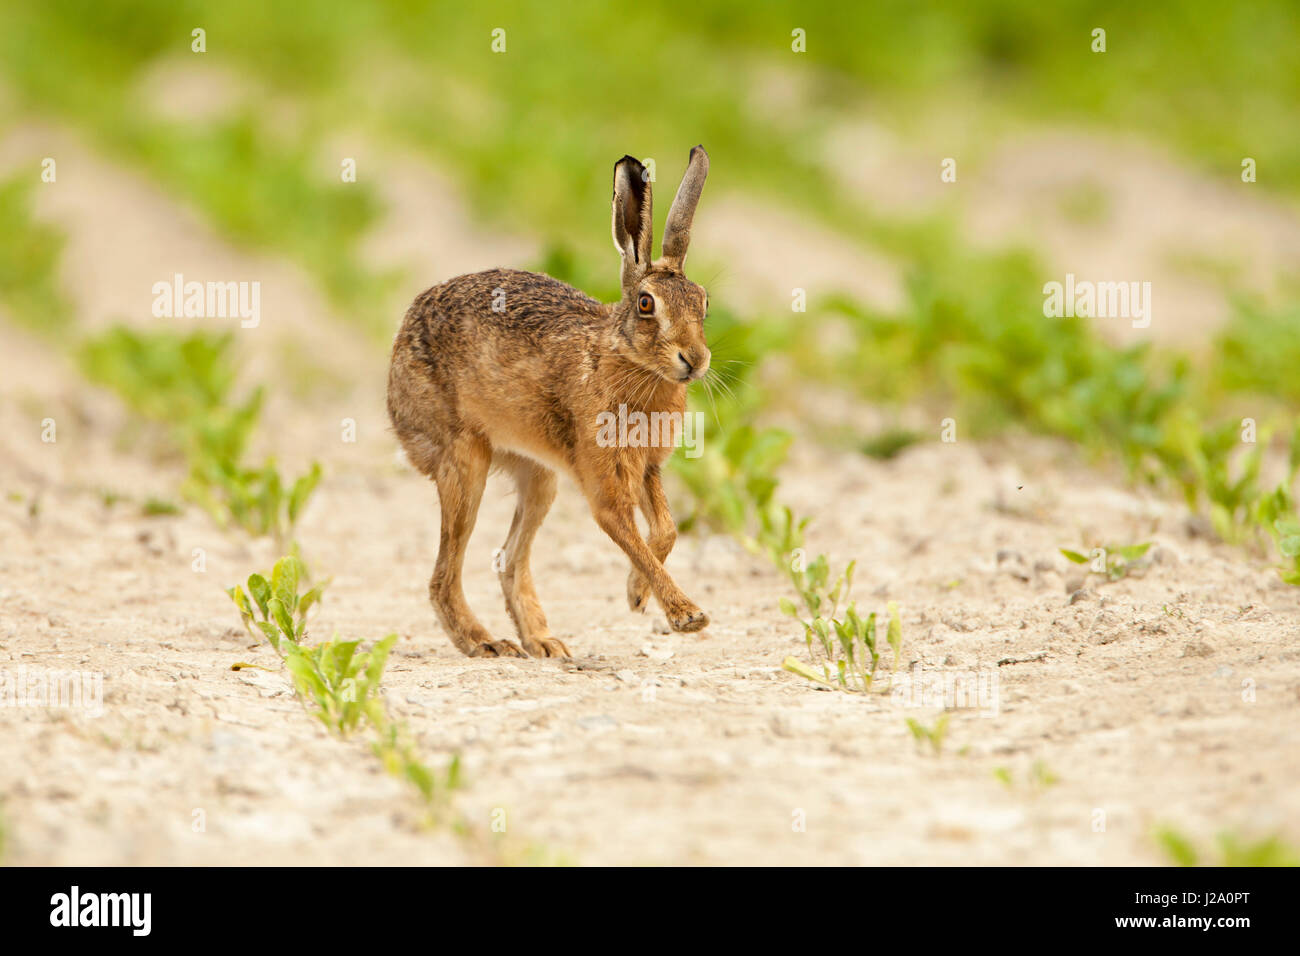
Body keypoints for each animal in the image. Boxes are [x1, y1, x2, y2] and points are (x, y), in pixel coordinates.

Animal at [387, 146, 713, 659]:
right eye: (646, 304)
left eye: (704, 303)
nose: (695, 360)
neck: (624, 358)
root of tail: (399, 343)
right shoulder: (606, 479)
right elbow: (627, 530)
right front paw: (687, 616)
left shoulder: (648, 467)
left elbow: (666, 530)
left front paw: (635, 595)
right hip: (464, 461)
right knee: (444, 574)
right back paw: (485, 642)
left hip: (540, 477)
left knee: (508, 559)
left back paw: (542, 641)